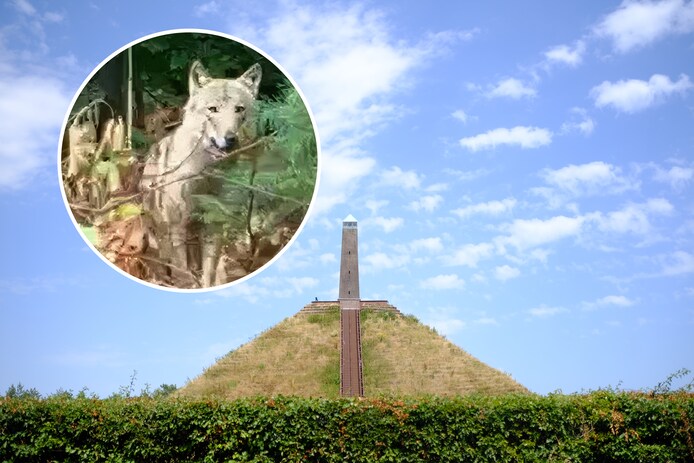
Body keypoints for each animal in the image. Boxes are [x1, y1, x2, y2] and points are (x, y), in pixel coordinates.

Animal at [140, 60, 262, 288]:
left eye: (239, 109)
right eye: (212, 109)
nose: (230, 139)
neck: (208, 173)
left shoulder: (214, 225)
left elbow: (209, 272)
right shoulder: (177, 226)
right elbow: (182, 273)